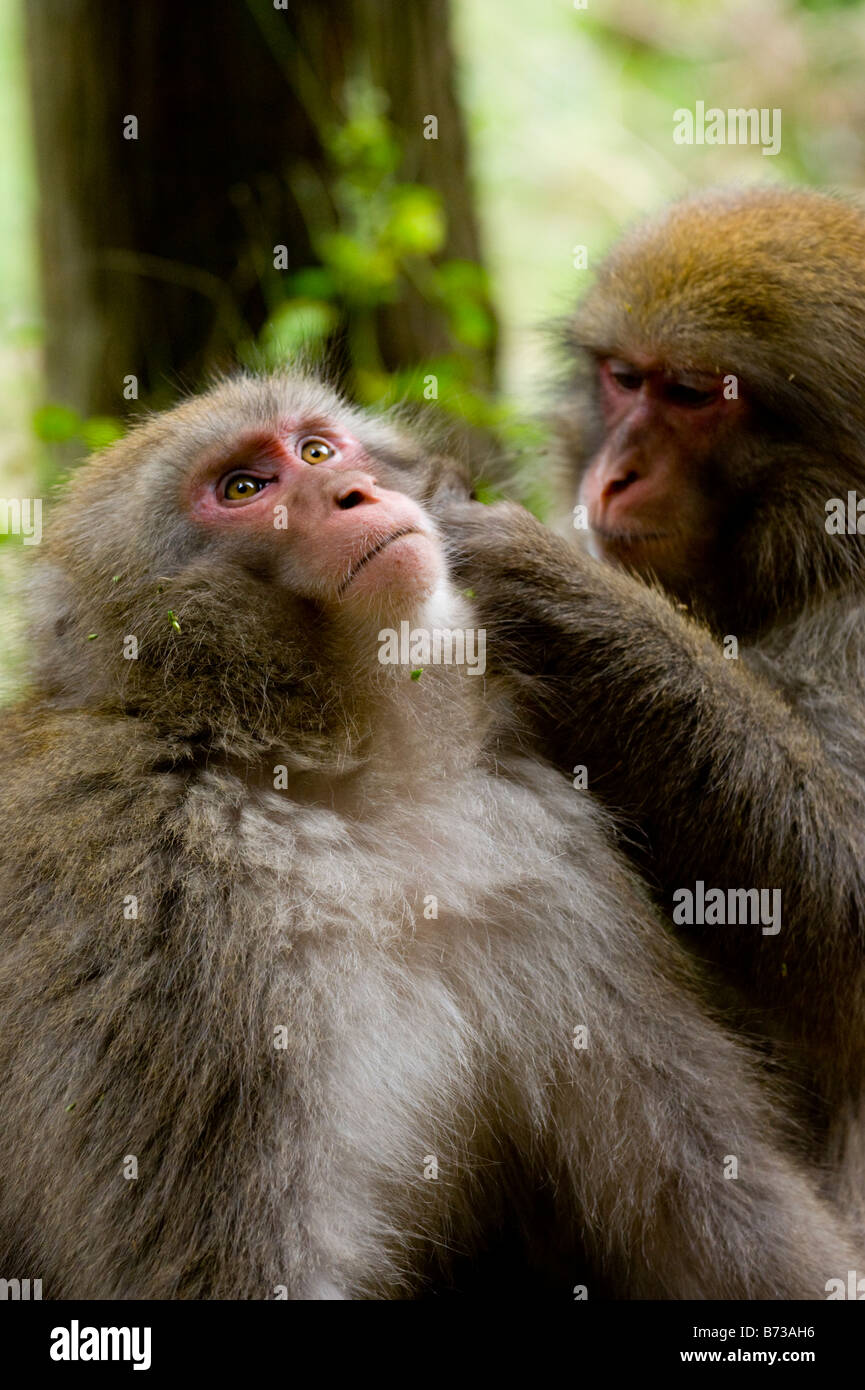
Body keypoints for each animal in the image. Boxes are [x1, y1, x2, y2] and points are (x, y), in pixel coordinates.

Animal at [0, 370, 857, 1300]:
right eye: (241, 489)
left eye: (316, 450)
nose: (352, 492)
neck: (354, 788)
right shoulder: (169, 926)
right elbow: (224, 1271)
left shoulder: (547, 875)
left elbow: (704, 1199)